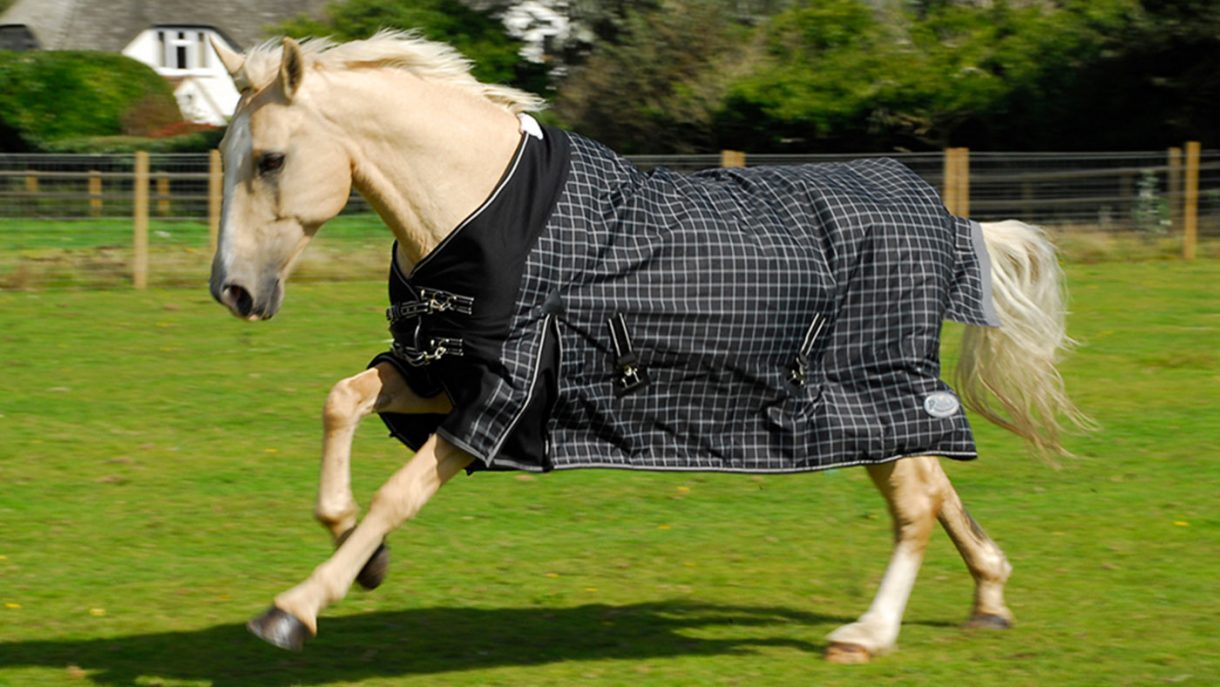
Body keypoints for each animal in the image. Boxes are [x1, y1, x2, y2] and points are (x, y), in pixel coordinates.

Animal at [207, 32, 1086, 662]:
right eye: (225, 153)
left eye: (273, 158)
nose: (232, 292)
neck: (484, 208)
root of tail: (948, 218)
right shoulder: (444, 372)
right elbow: (342, 400)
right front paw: (364, 554)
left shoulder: (502, 401)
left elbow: (397, 493)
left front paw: (295, 607)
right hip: (869, 409)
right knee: (935, 485)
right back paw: (989, 599)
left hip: (862, 392)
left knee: (915, 505)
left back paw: (868, 633)